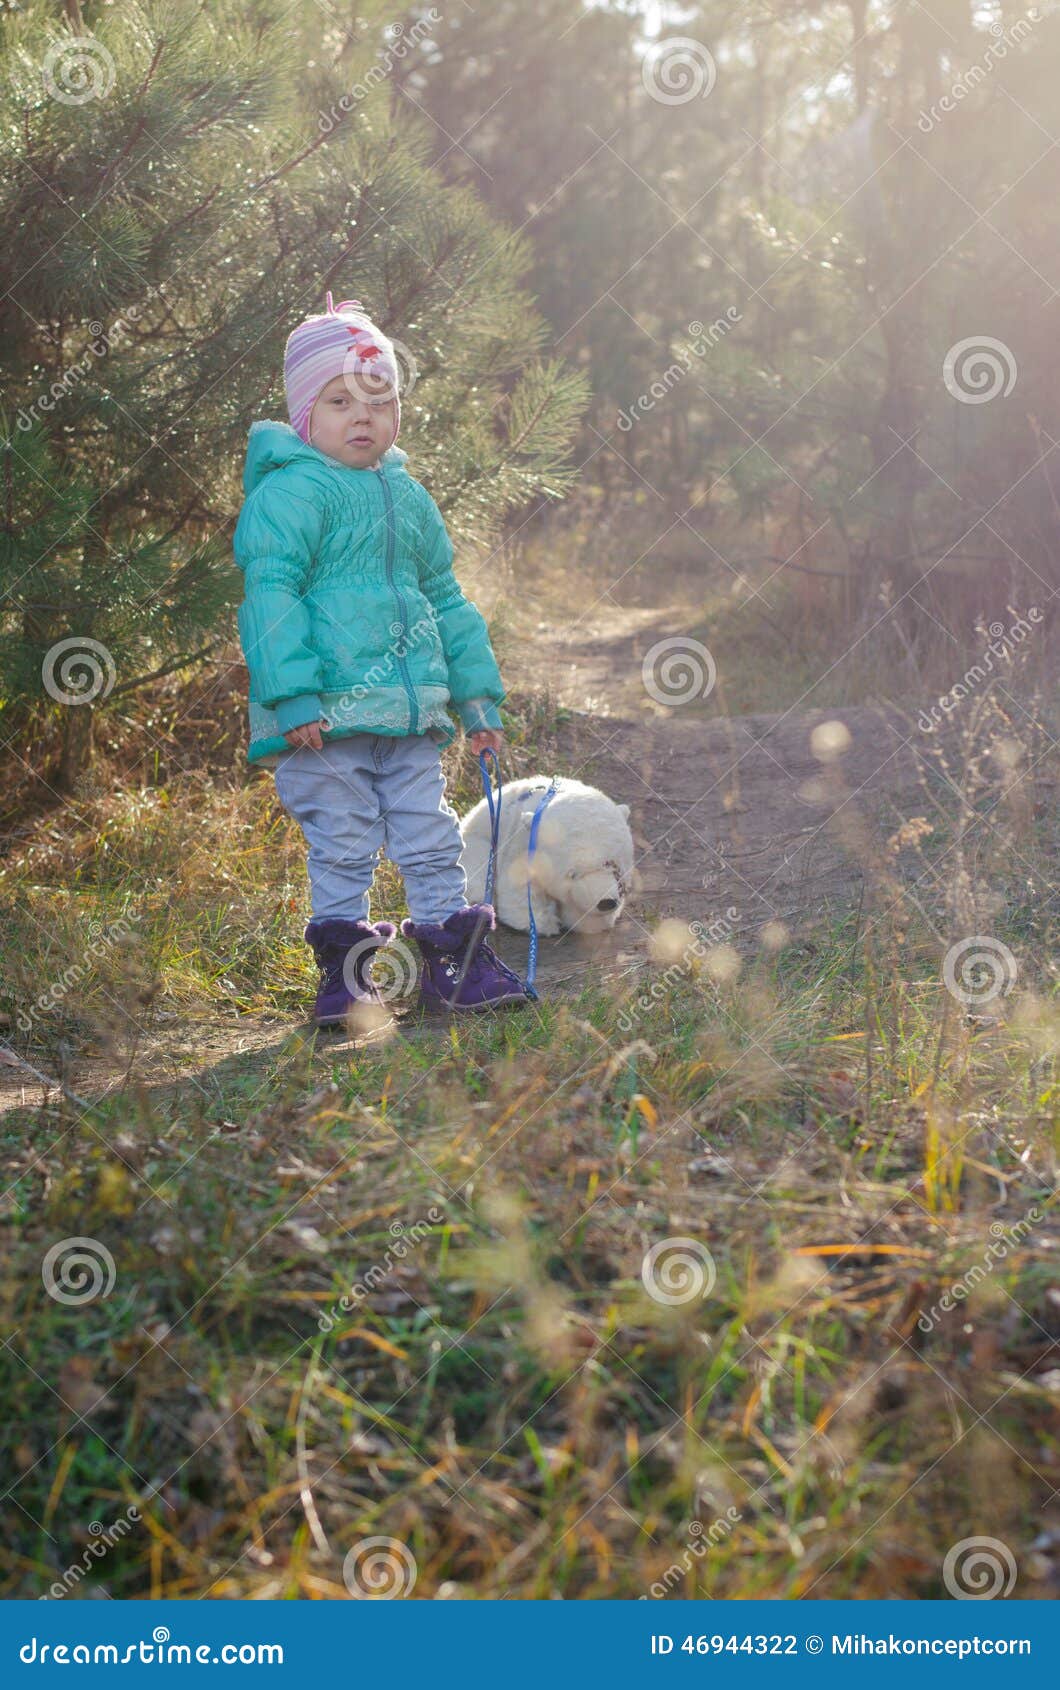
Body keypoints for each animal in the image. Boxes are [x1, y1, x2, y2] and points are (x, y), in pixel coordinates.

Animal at [459, 775, 635, 935]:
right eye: (572, 874)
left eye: (612, 865)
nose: (606, 902)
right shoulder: (521, 843)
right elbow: (521, 886)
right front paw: (544, 923)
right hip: (477, 843)